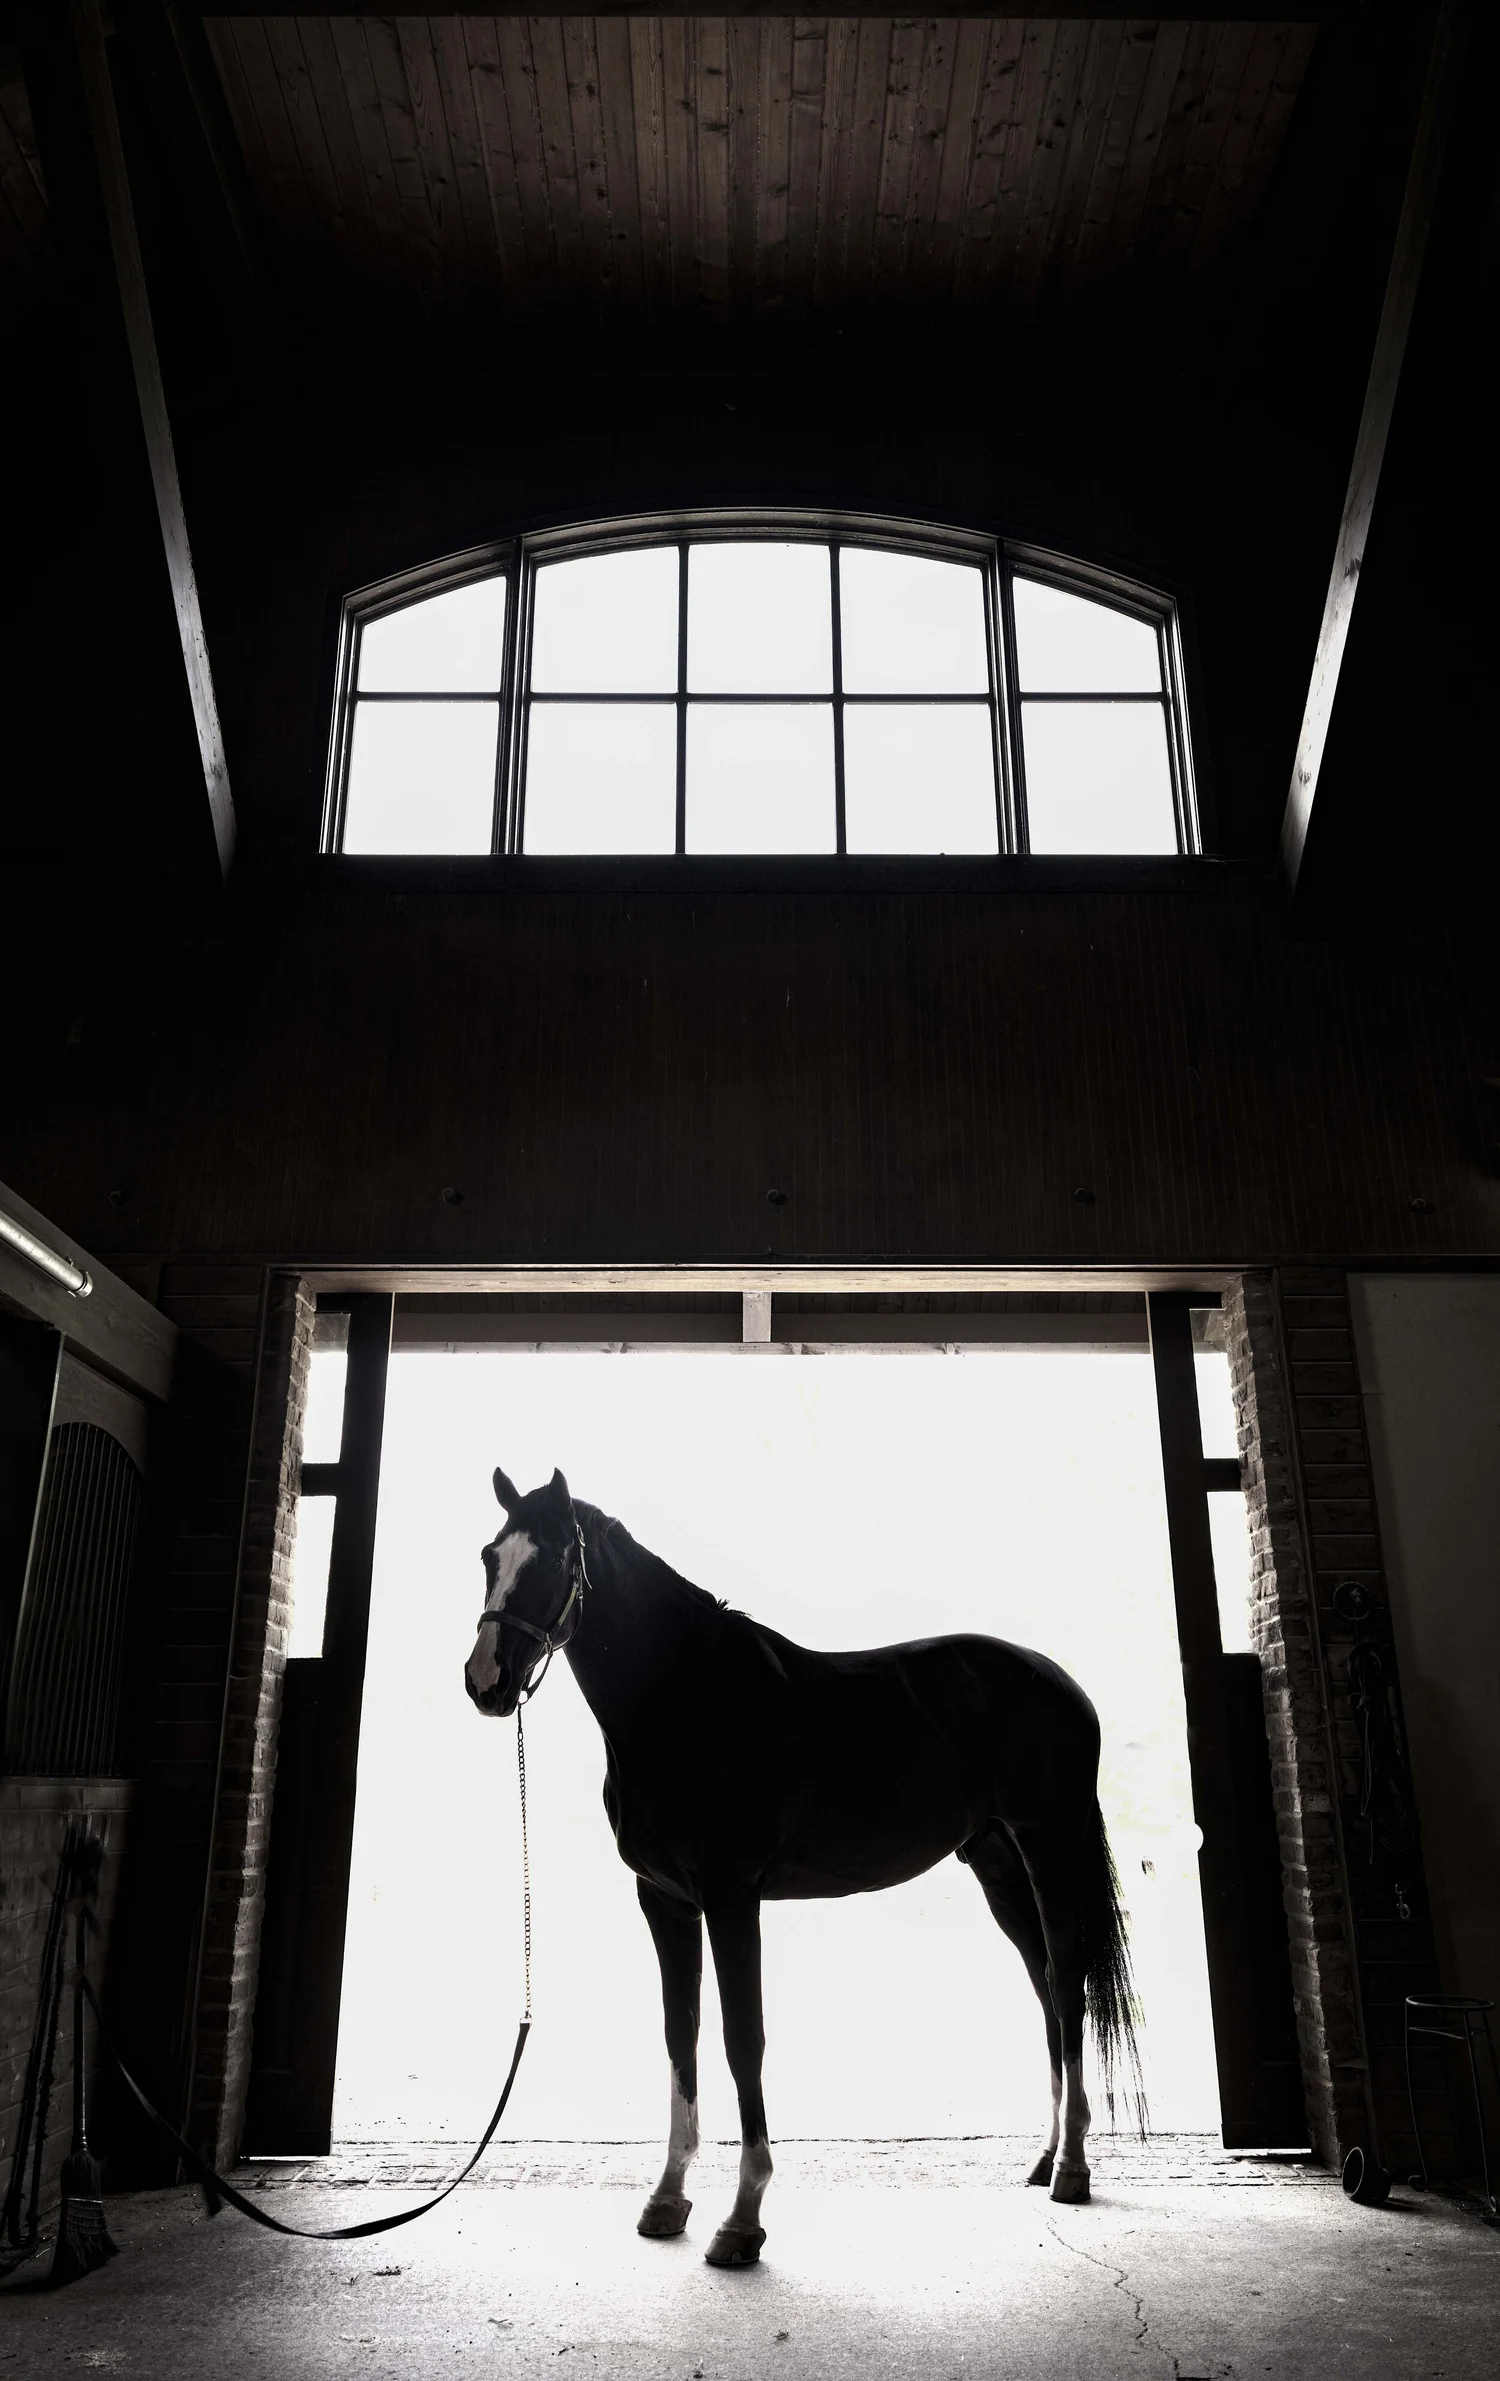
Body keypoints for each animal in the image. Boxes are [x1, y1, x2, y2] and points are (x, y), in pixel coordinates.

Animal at [465, 1466, 1143, 2267]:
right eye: (490, 1557)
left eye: (553, 1562)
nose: (485, 1681)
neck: (686, 1701)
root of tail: (1060, 1683)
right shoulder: (664, 1899)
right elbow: (680, 2034)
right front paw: (667, 2198)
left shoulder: (731, 1897)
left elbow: (741, 2038)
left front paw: (742, 2218)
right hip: (999, 1865)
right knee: (1043, 1986)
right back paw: (1044, 2158)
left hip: (1049, 1849)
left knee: (1067, 1988)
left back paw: (1071, 2167)